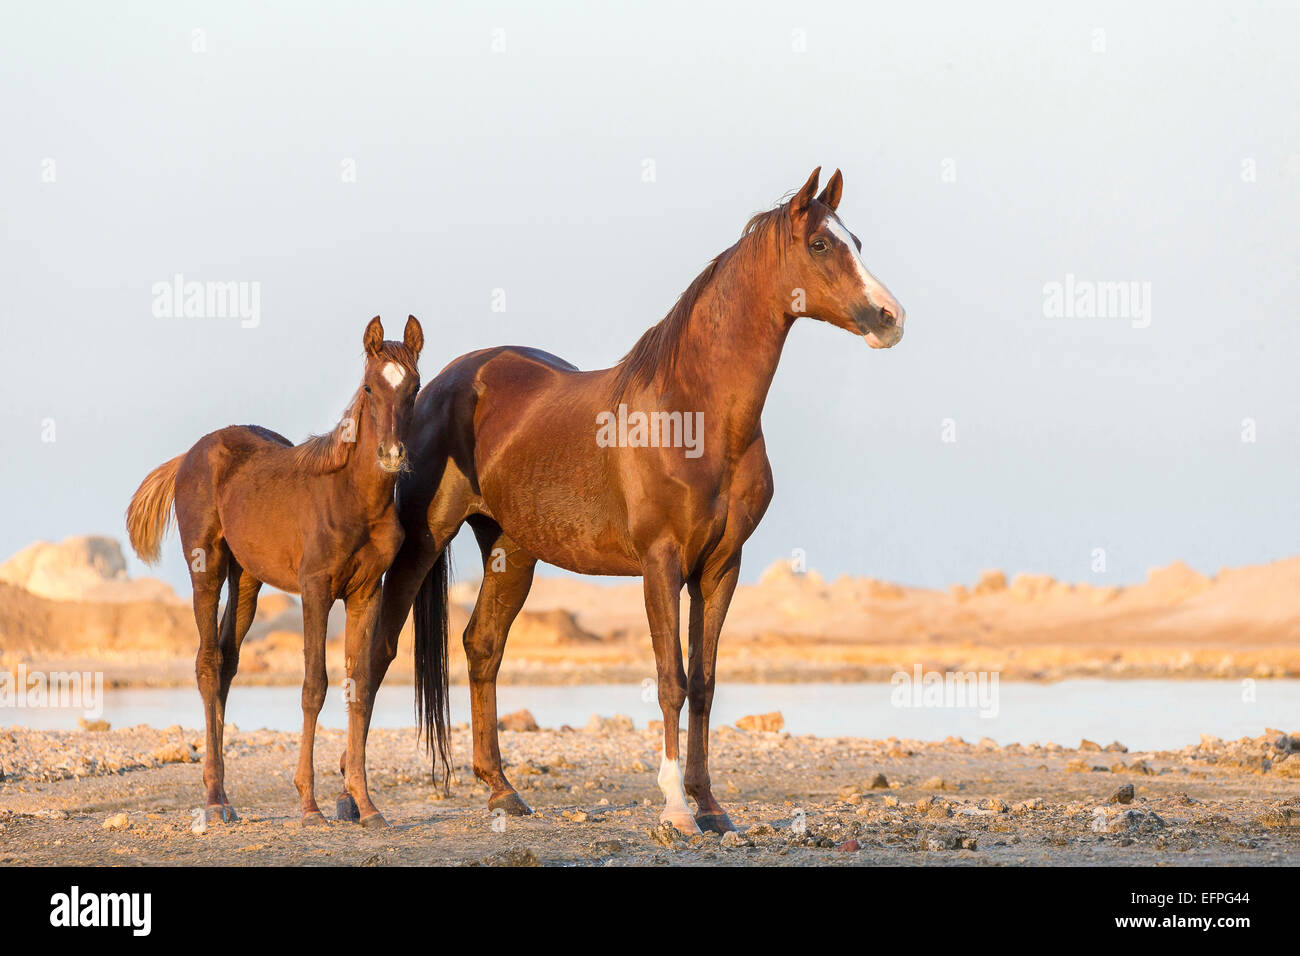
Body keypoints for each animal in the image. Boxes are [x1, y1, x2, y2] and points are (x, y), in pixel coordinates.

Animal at [126, 315, 423, 829]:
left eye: (416, 388)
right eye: (369, 386)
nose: (391, 454)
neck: (353, 497)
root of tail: (189, 456)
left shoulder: (367, 592)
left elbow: (360, 686)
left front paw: (365, 805)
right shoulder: (315, 590)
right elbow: (313, 686)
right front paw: (309, 805)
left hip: (247, 578)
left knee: (228, 661)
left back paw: (226, 796)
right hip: (206, 567)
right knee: (208, 663)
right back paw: (214, 800)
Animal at [346, 166, 904, 833]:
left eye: (858, 242)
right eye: (820, 245)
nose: (890, 317)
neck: (694, 414)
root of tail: (444, 383)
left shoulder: (721, 568)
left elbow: (705, 682)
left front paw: (711, 806)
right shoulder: (660, 564)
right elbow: (671, 680)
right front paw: (676, 809)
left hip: (512, 550)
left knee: (482, 647)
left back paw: (502, 790)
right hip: (423, 543)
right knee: (378, 653)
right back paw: (358, 800)